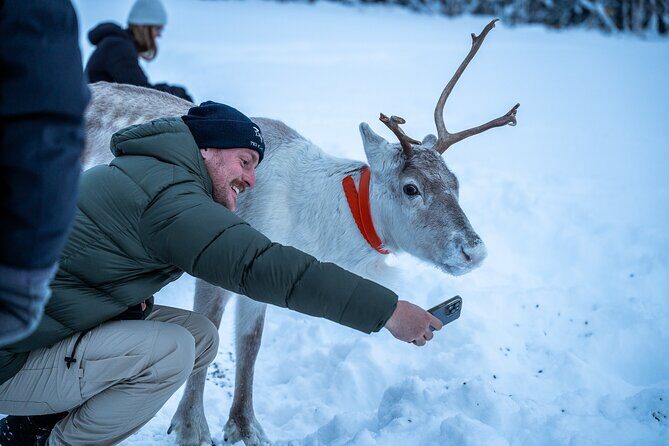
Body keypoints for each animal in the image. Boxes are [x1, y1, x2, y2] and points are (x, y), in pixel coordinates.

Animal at [82, 19, 517, 446]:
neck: (311, 222)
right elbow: (210, 335)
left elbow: (251, 343)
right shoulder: (212, 260)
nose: (474, 250)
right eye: (412, 188)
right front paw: (191, 429)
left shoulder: (257, 276)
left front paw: (245, 428)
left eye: (456, 183)